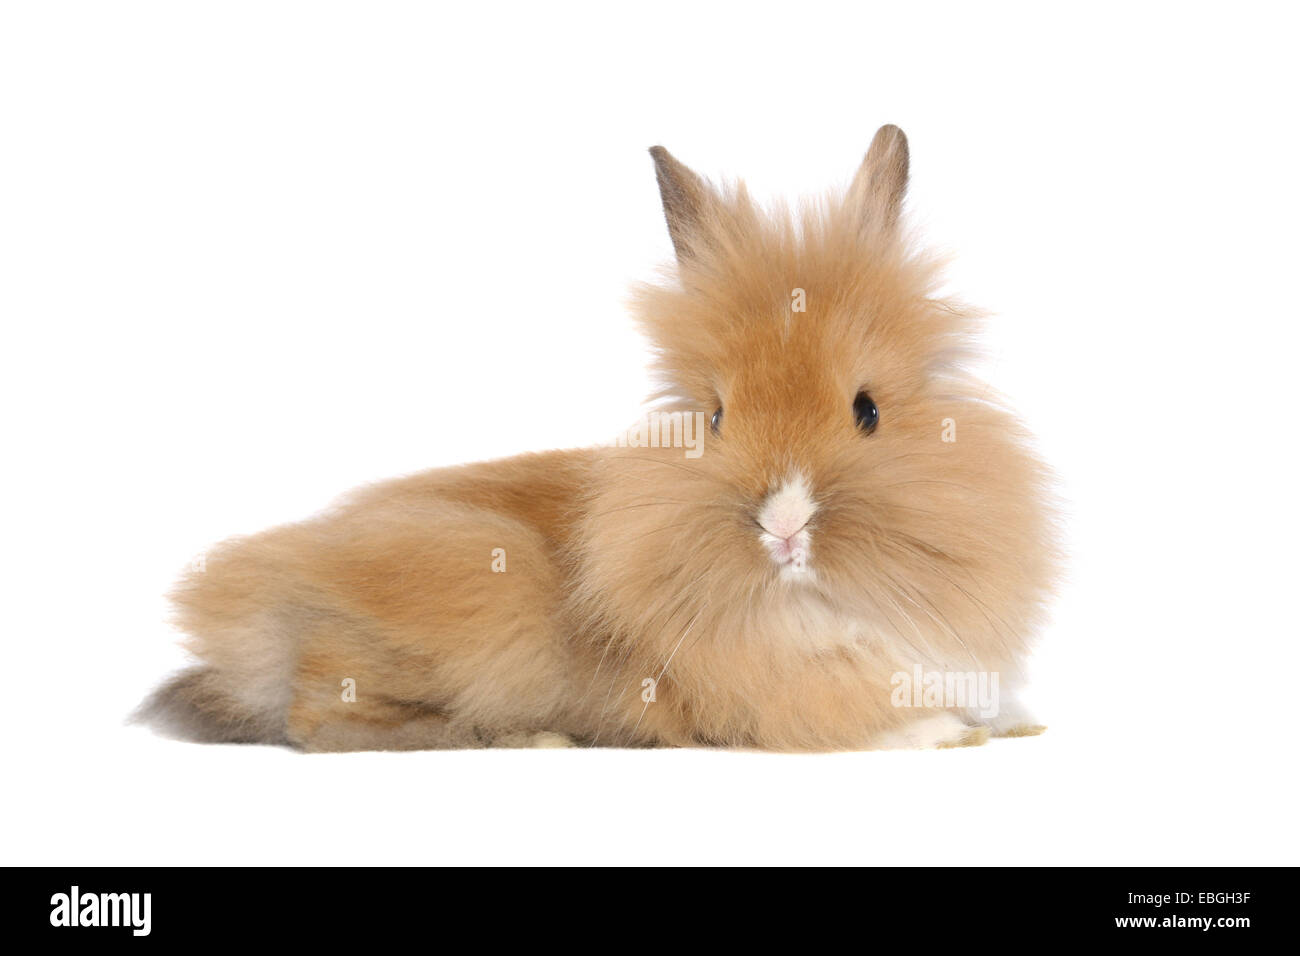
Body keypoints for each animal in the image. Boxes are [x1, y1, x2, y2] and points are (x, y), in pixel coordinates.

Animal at [140, 125, 1058, 751]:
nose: (785, 525)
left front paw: (1016, 724)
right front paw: (942, 732)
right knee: (323, 719)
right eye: (714, 416)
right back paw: (529, 739)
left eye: (867, 410)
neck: (815, 608)